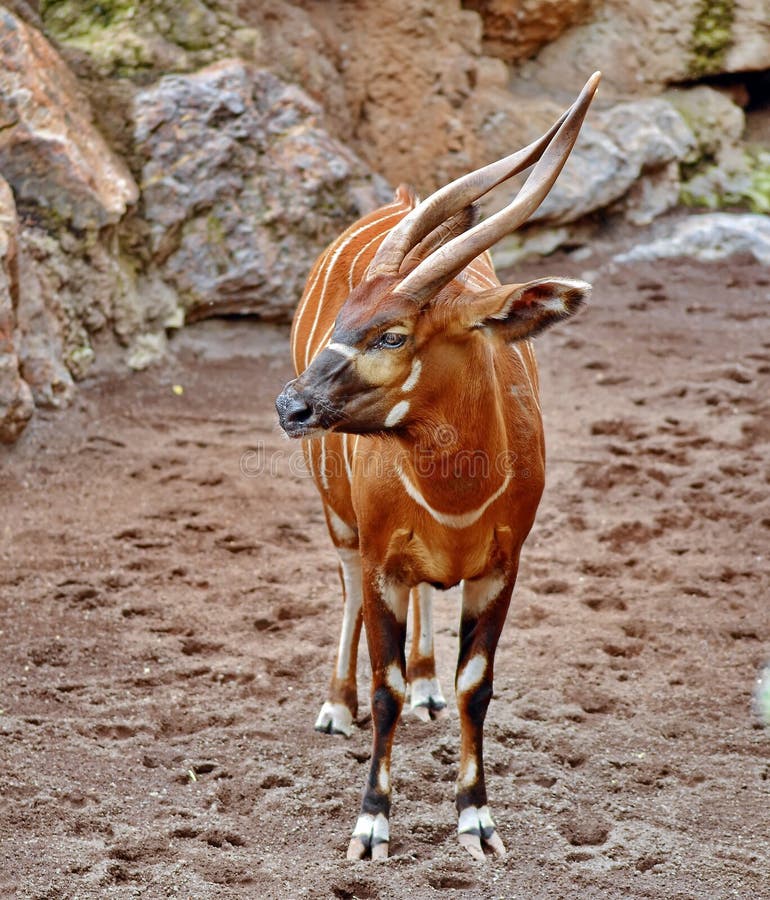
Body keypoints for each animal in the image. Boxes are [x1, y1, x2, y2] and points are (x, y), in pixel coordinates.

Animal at [276, 73, 600, 861]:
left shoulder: (501, 567)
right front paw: (370, 826)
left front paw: (477, 819)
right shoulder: (381, 561)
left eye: (393, 334)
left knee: (429, 639)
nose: (291, 405)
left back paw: (426, 684)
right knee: (346, 589)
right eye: (344, 319)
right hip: (340, 520)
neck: (458, 493)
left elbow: (474, 685)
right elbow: (384, 686)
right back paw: (336, 704)